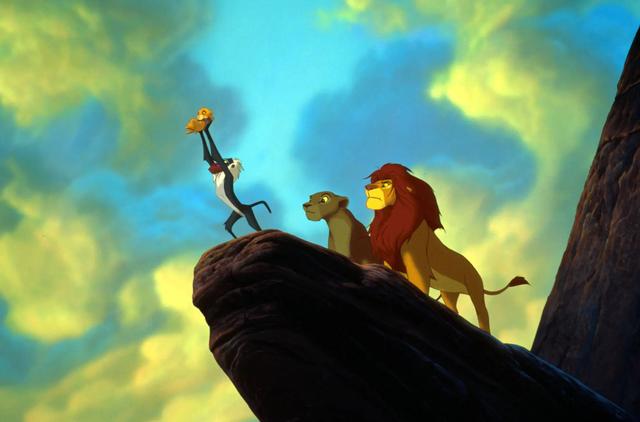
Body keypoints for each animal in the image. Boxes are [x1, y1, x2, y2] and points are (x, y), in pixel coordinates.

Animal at [365, 163, 528, 333]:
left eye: (386, 184)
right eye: (374, 181)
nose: (367, 187)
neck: (391, 218)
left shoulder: (417, 261)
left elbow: (419, 287)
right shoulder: (391, 262)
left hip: (474, 288)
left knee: (482, 312)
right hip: (449, 293)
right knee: (454, 311)